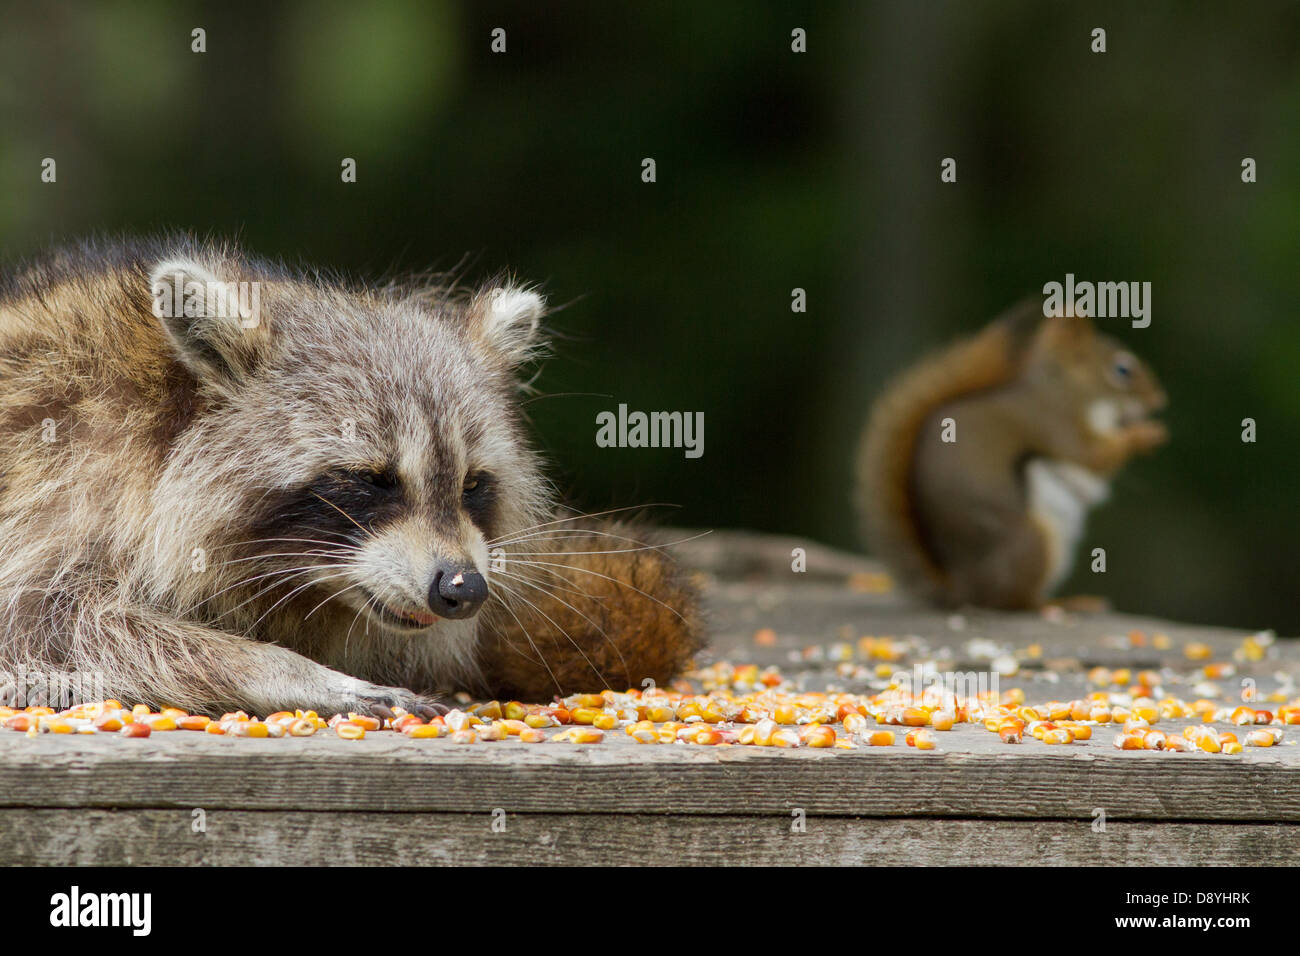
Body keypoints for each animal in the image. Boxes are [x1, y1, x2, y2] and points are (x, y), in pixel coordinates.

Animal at [0, 236, 702, 716]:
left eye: (472, 485)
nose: (463, 588)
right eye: (373, 480)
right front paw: (284, 670)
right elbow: (56, 628)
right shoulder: (55, 487)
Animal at [856, 301, 1167, 610]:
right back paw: (1063, 603)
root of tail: (964, 588)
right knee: (1016, 600)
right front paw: (1144, 434)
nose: (1160, 398)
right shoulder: (1055, 425)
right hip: (1032, 542)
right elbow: (1092, 457)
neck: (1062, 388)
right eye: (1122, 370)